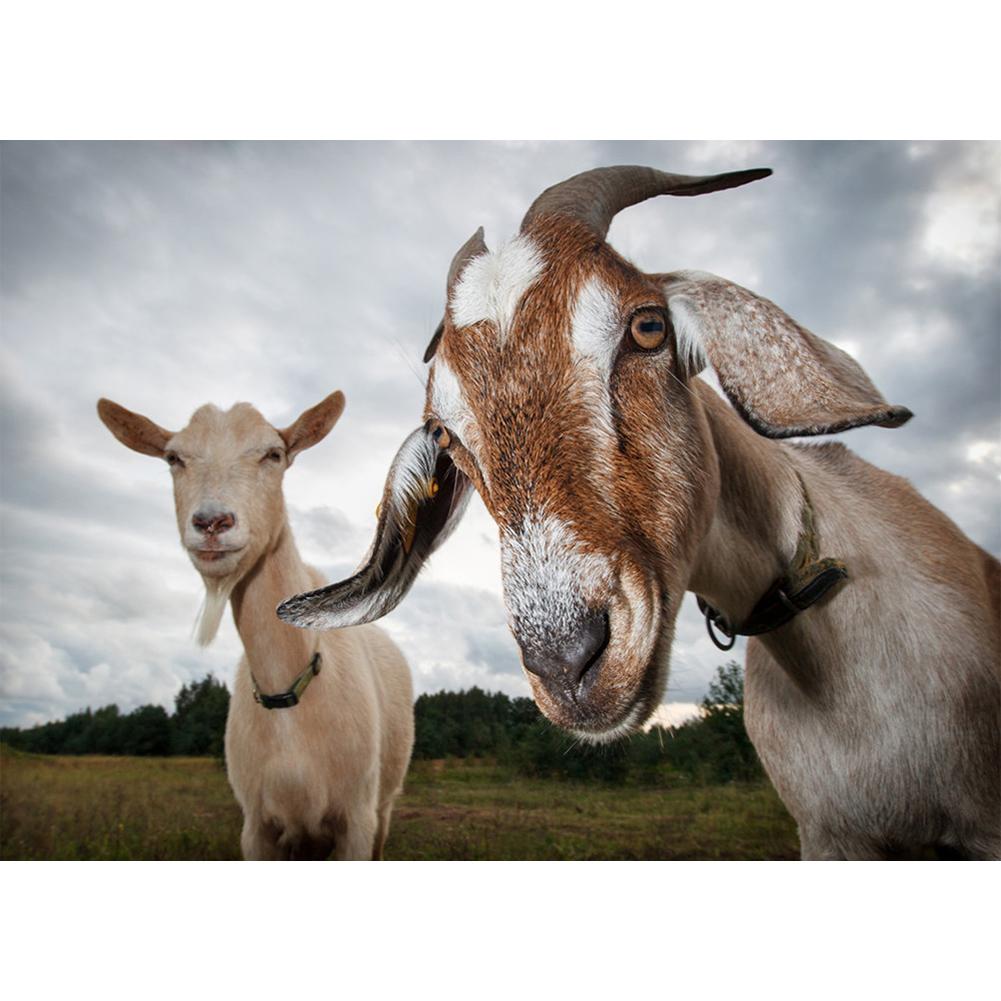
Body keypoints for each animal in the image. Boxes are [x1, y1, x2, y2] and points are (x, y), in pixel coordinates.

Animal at [97, 392, 414, 860]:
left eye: (273, 454)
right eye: (174, 458)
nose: (212, 522)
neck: (289, 691)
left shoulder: (356, 820)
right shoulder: (256, 826)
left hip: (384, 805)